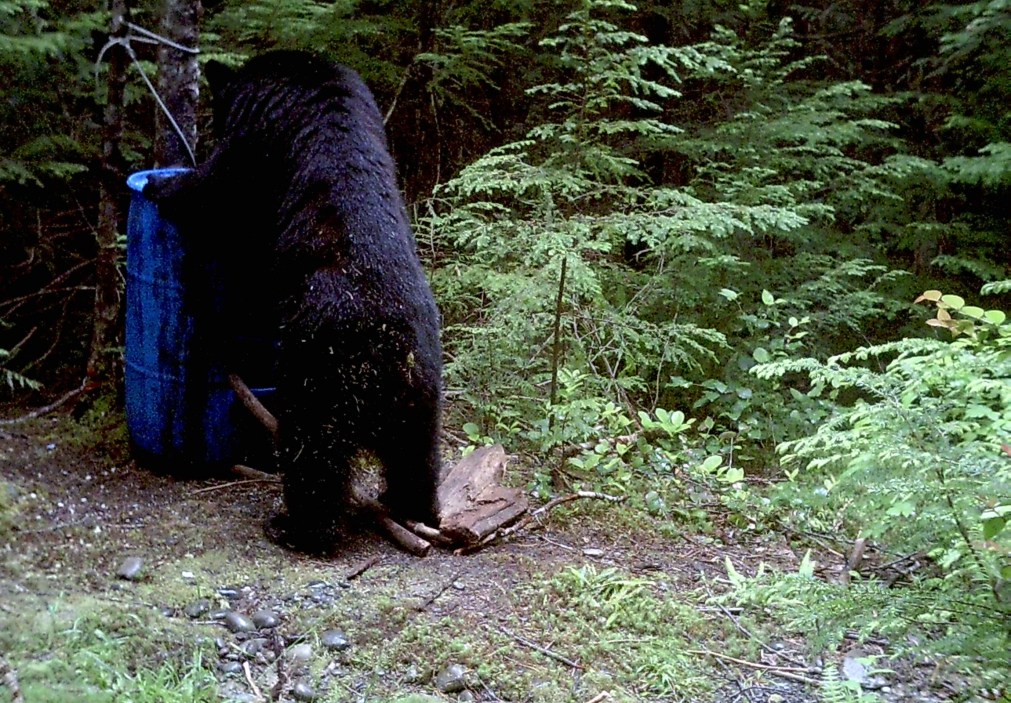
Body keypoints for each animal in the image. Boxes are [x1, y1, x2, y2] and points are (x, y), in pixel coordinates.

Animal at [146, 51, 443, 548]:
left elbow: (220, 189)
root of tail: (386, 335)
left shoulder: (257, 139)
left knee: (313, 448)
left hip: (317, 363)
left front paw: (160, 186)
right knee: (415, 451)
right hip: (420, 381)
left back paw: (297, 527)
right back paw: (413, 508)